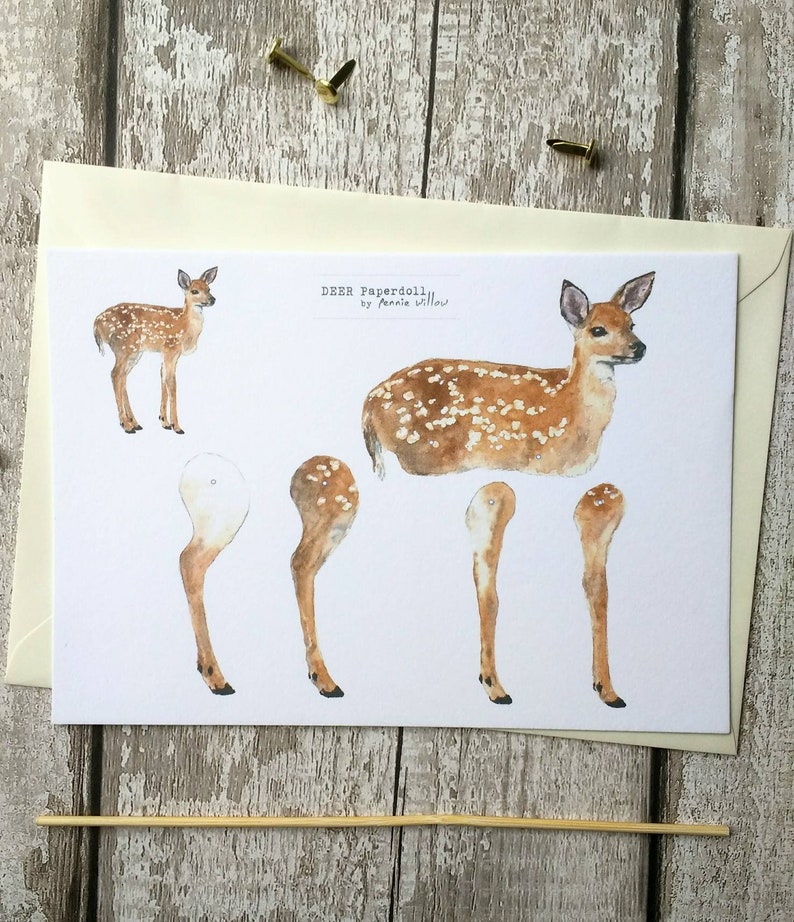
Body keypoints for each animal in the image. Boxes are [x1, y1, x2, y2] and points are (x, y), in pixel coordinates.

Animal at [93, 267, 218, 434]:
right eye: (194, 291)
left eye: (209, 288)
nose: (212, 299)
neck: (184, 324)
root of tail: (97, 323)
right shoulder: (171, 348)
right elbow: (172, 383)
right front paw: (177, 426)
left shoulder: (166, 353)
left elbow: (163, 378)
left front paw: (164, 422)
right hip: (124, 346)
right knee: (115, 374)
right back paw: (126, 425)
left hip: (134, 352)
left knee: (122, 376)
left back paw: (135, 423)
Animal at [361, 272, 654, 479]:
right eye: (598, 330)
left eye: (631, 324)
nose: (639, 347)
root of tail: (370, 402)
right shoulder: (544, 462)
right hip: (425, 452)